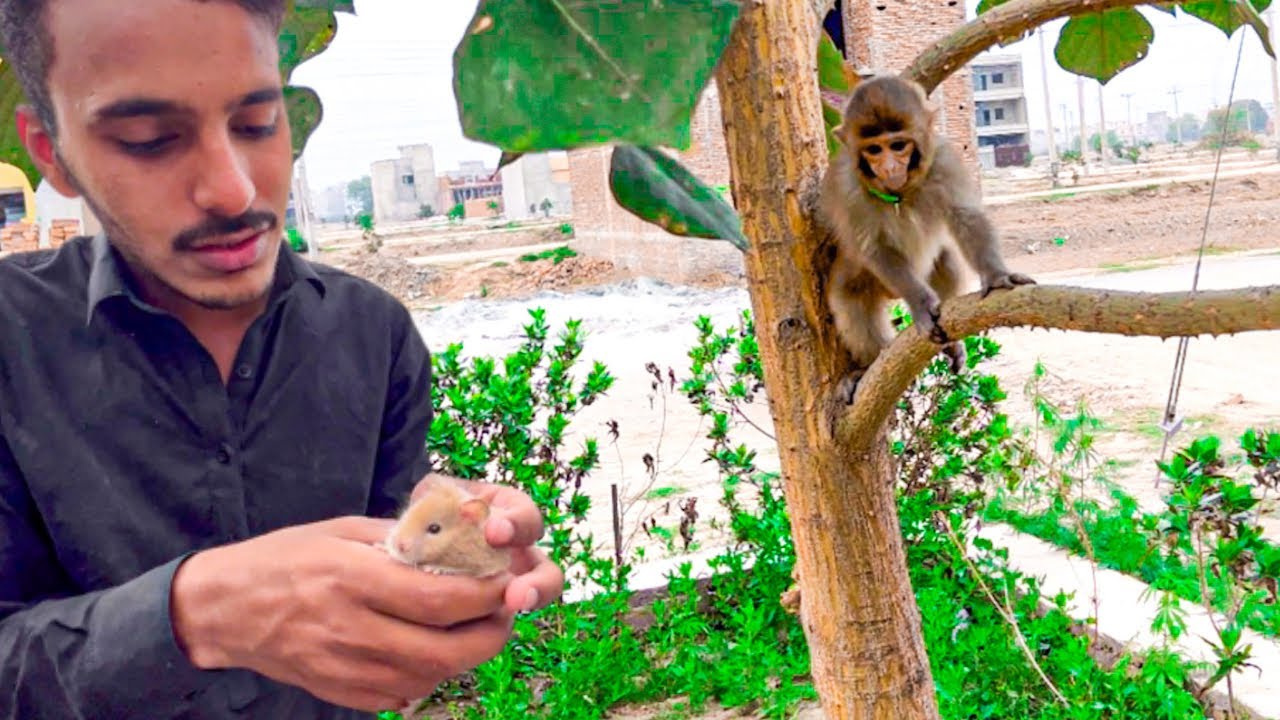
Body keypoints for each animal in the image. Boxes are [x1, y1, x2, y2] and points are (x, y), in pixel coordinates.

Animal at [382, 473, 511, 578]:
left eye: (434, 529)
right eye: (408, 513)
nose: (399, 545)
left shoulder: (484, 563)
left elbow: (464, 569)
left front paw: (433, 569)